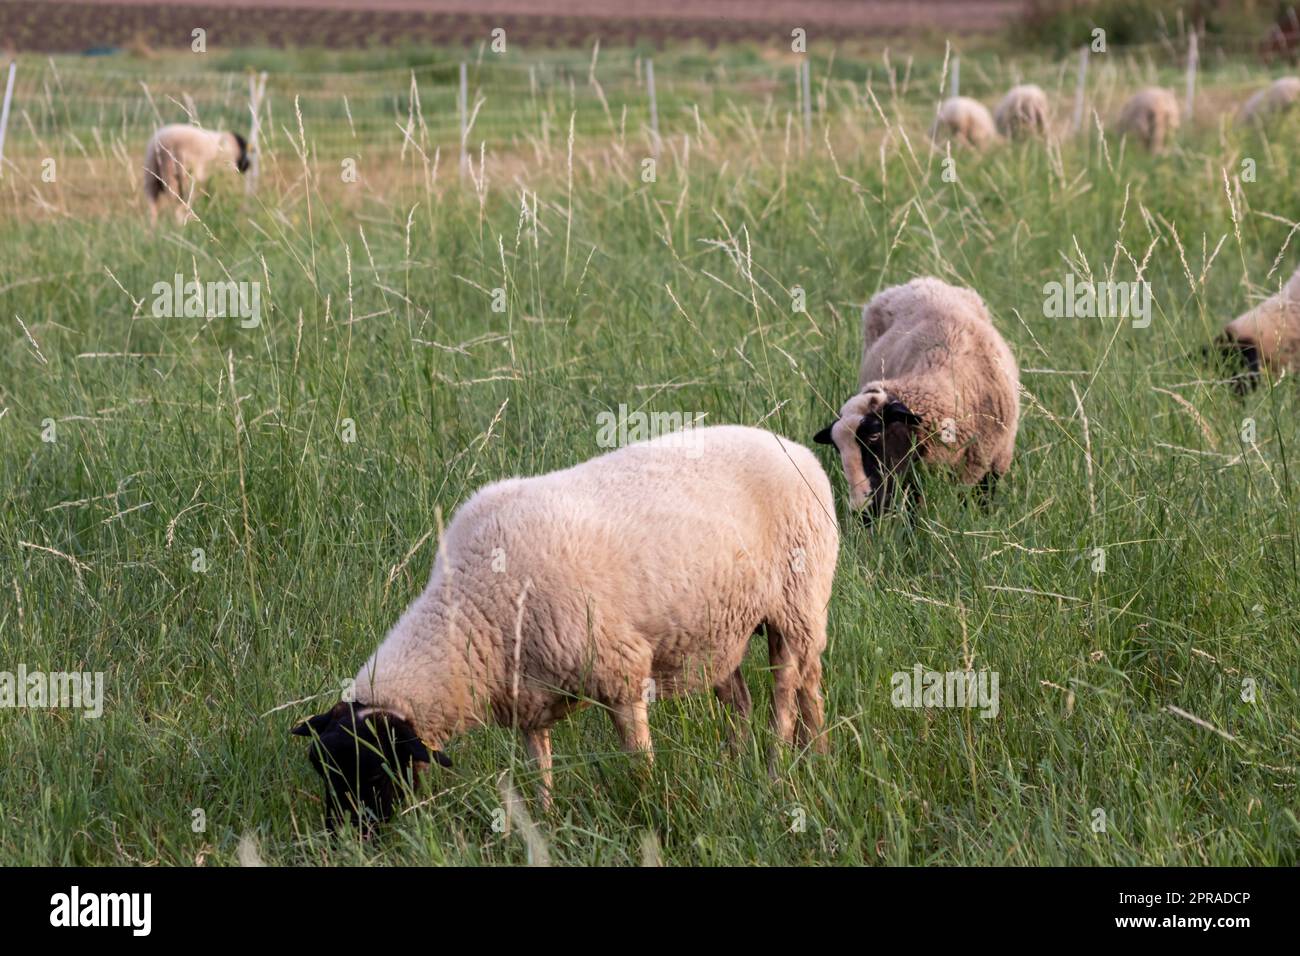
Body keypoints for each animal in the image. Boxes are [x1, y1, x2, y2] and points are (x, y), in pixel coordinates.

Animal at [292, 424, 839, 830]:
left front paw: (645, 805)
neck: (472, 606)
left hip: (797, 603)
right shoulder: (526, 693)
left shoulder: (620, 669)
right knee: (760, 696)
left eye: (375, 770)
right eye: (323, 769)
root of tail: (792, 447)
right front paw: (545, 821)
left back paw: (785, 765)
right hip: (723, 626)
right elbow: (541, 766)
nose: (346, 838)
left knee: (793, 691)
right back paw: (765, 763)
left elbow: (637, 756)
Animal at [814, 277, 1019, 520]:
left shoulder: (993, 462)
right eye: (837, 448)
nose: (862, 511)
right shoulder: (914, 473)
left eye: (874, 436)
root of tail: (922, 281)